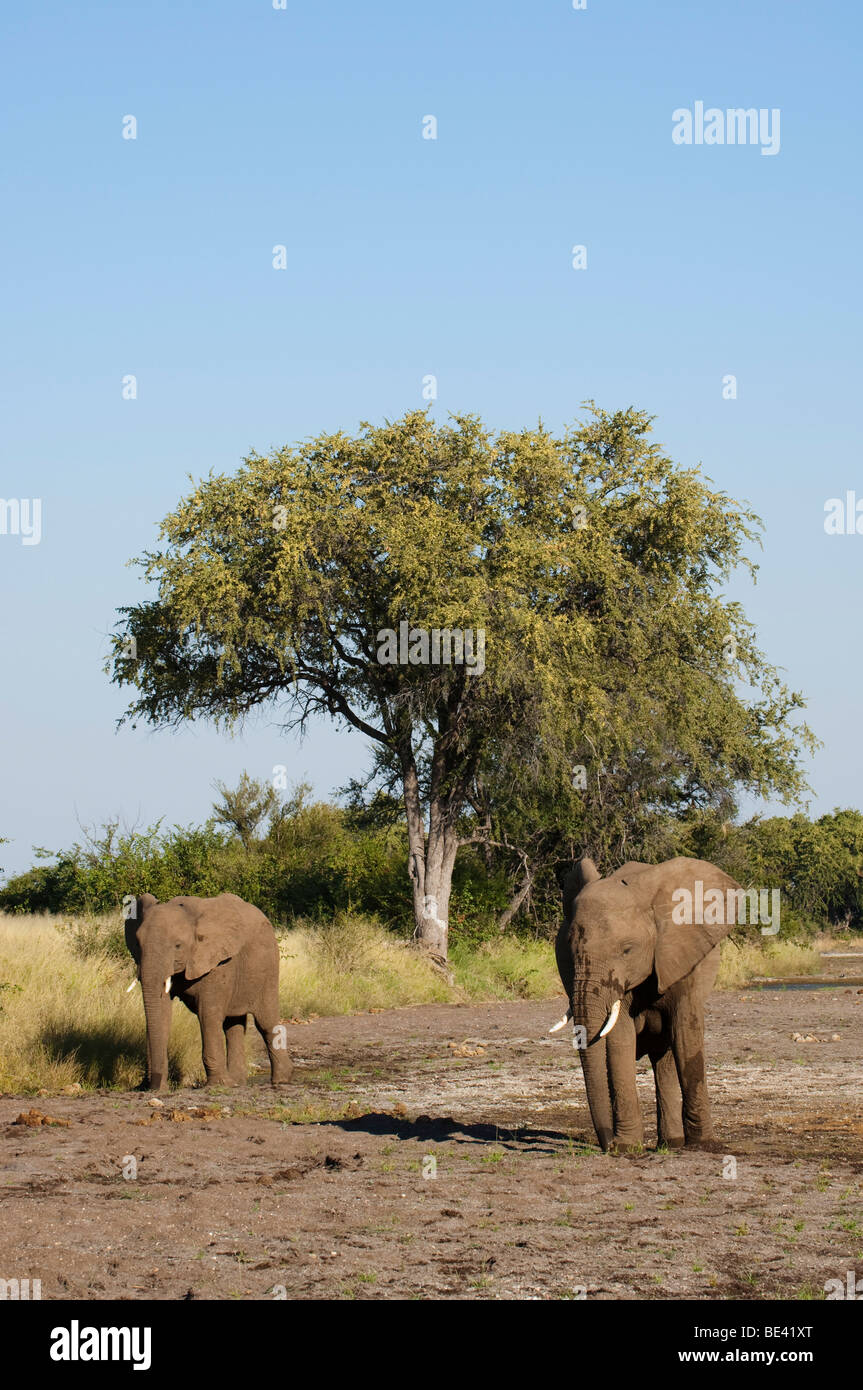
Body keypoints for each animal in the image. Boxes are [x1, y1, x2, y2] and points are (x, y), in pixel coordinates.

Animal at [124, 892, 293, 1091]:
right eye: (137, 943)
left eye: (178, 945)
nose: (155, 1086)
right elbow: (163, 1014)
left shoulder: (218, 962)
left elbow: (208, 1015)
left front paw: (218, 1085)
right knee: (233, 1026)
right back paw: (237, 1082)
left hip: (268, 967)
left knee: (266, 1022)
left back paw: (281, 1080)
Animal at [552, 855, 742, 1152]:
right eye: (570, 950)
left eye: (627, 950)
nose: (607, 1143)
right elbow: (619, 1037)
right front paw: (627, 1148)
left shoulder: (682, 958)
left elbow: (685, 1033)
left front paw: (704, 1145)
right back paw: (668, 1143)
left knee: (665, 1055)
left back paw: (673, 1144)